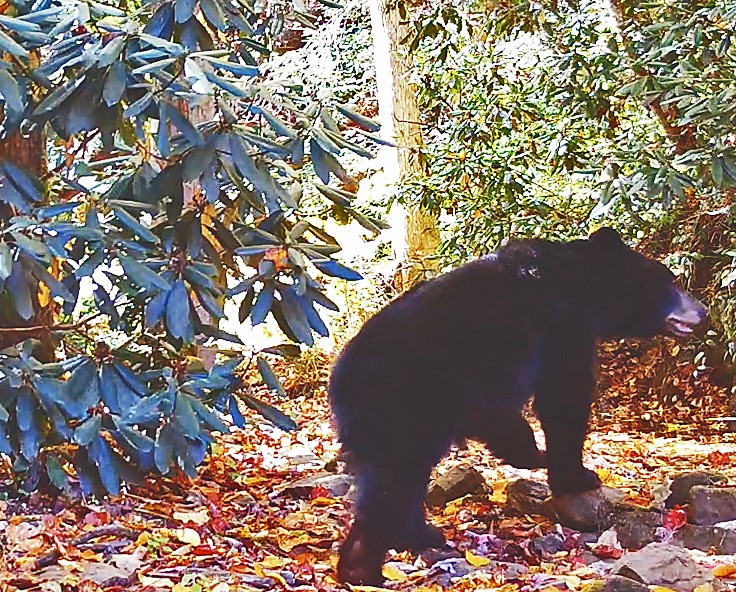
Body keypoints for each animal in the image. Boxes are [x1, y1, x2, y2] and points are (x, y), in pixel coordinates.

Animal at [329, 228, 707, 585]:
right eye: (670, 281)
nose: (703, 310)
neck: (584, 286)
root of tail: (343, 382)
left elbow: (504, 418)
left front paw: (530, 455)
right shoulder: (563, 327)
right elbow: (564, 397)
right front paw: (576, 474)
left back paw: (419, 534)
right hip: (407, 407)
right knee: (393, 484)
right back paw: (363, 568)